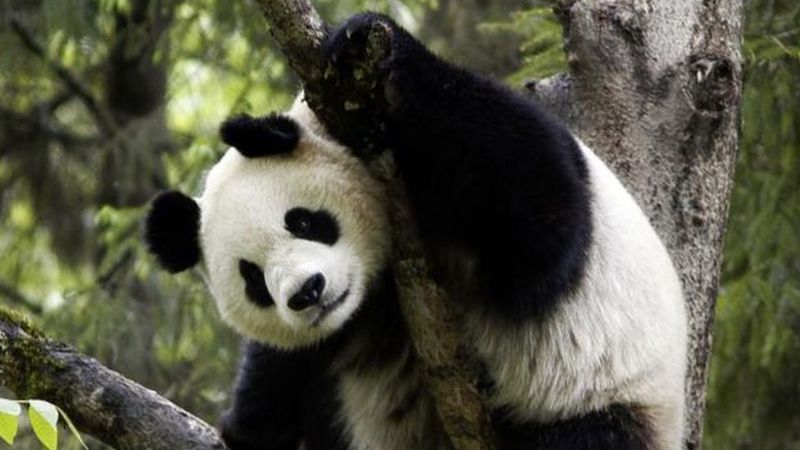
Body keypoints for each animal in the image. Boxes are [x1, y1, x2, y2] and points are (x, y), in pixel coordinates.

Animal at [144, 12, 687, 450]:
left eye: (302, 221)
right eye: (253, 280)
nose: (307, 292)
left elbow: (542, 227)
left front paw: (363, 43)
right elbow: (280, 367)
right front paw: (249, 426)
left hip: (607, 396)